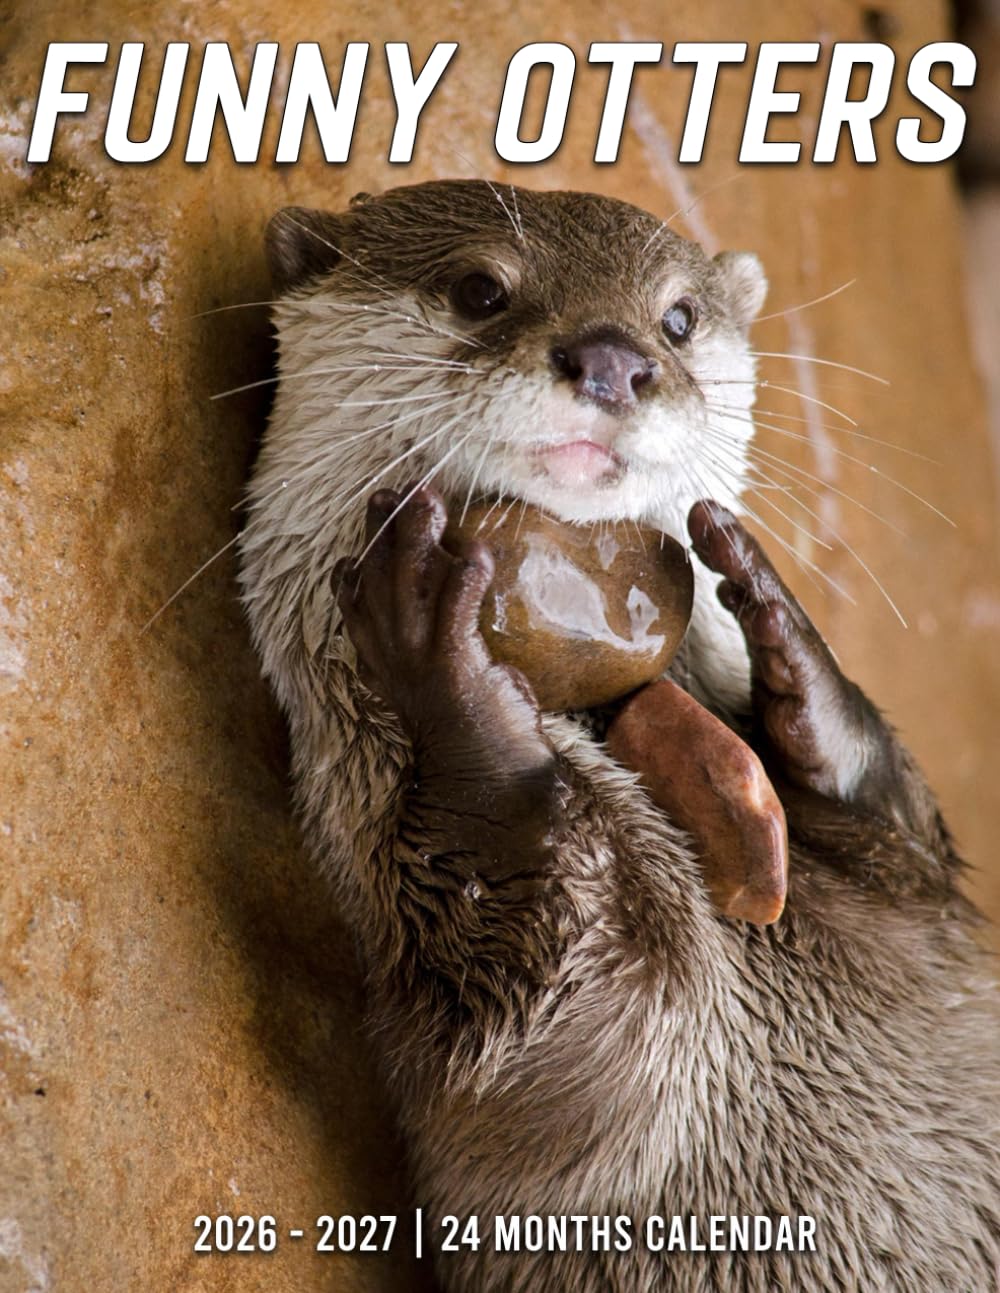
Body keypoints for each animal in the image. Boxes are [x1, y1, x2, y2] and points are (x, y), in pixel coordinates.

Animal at [238, 181, 1000, 1291]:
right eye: (480, 288)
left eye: (677, 318)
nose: (612, 358)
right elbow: (564, 1021)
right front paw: (437, 650)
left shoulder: (931, 939)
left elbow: (907, 843)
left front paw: (778, 619)